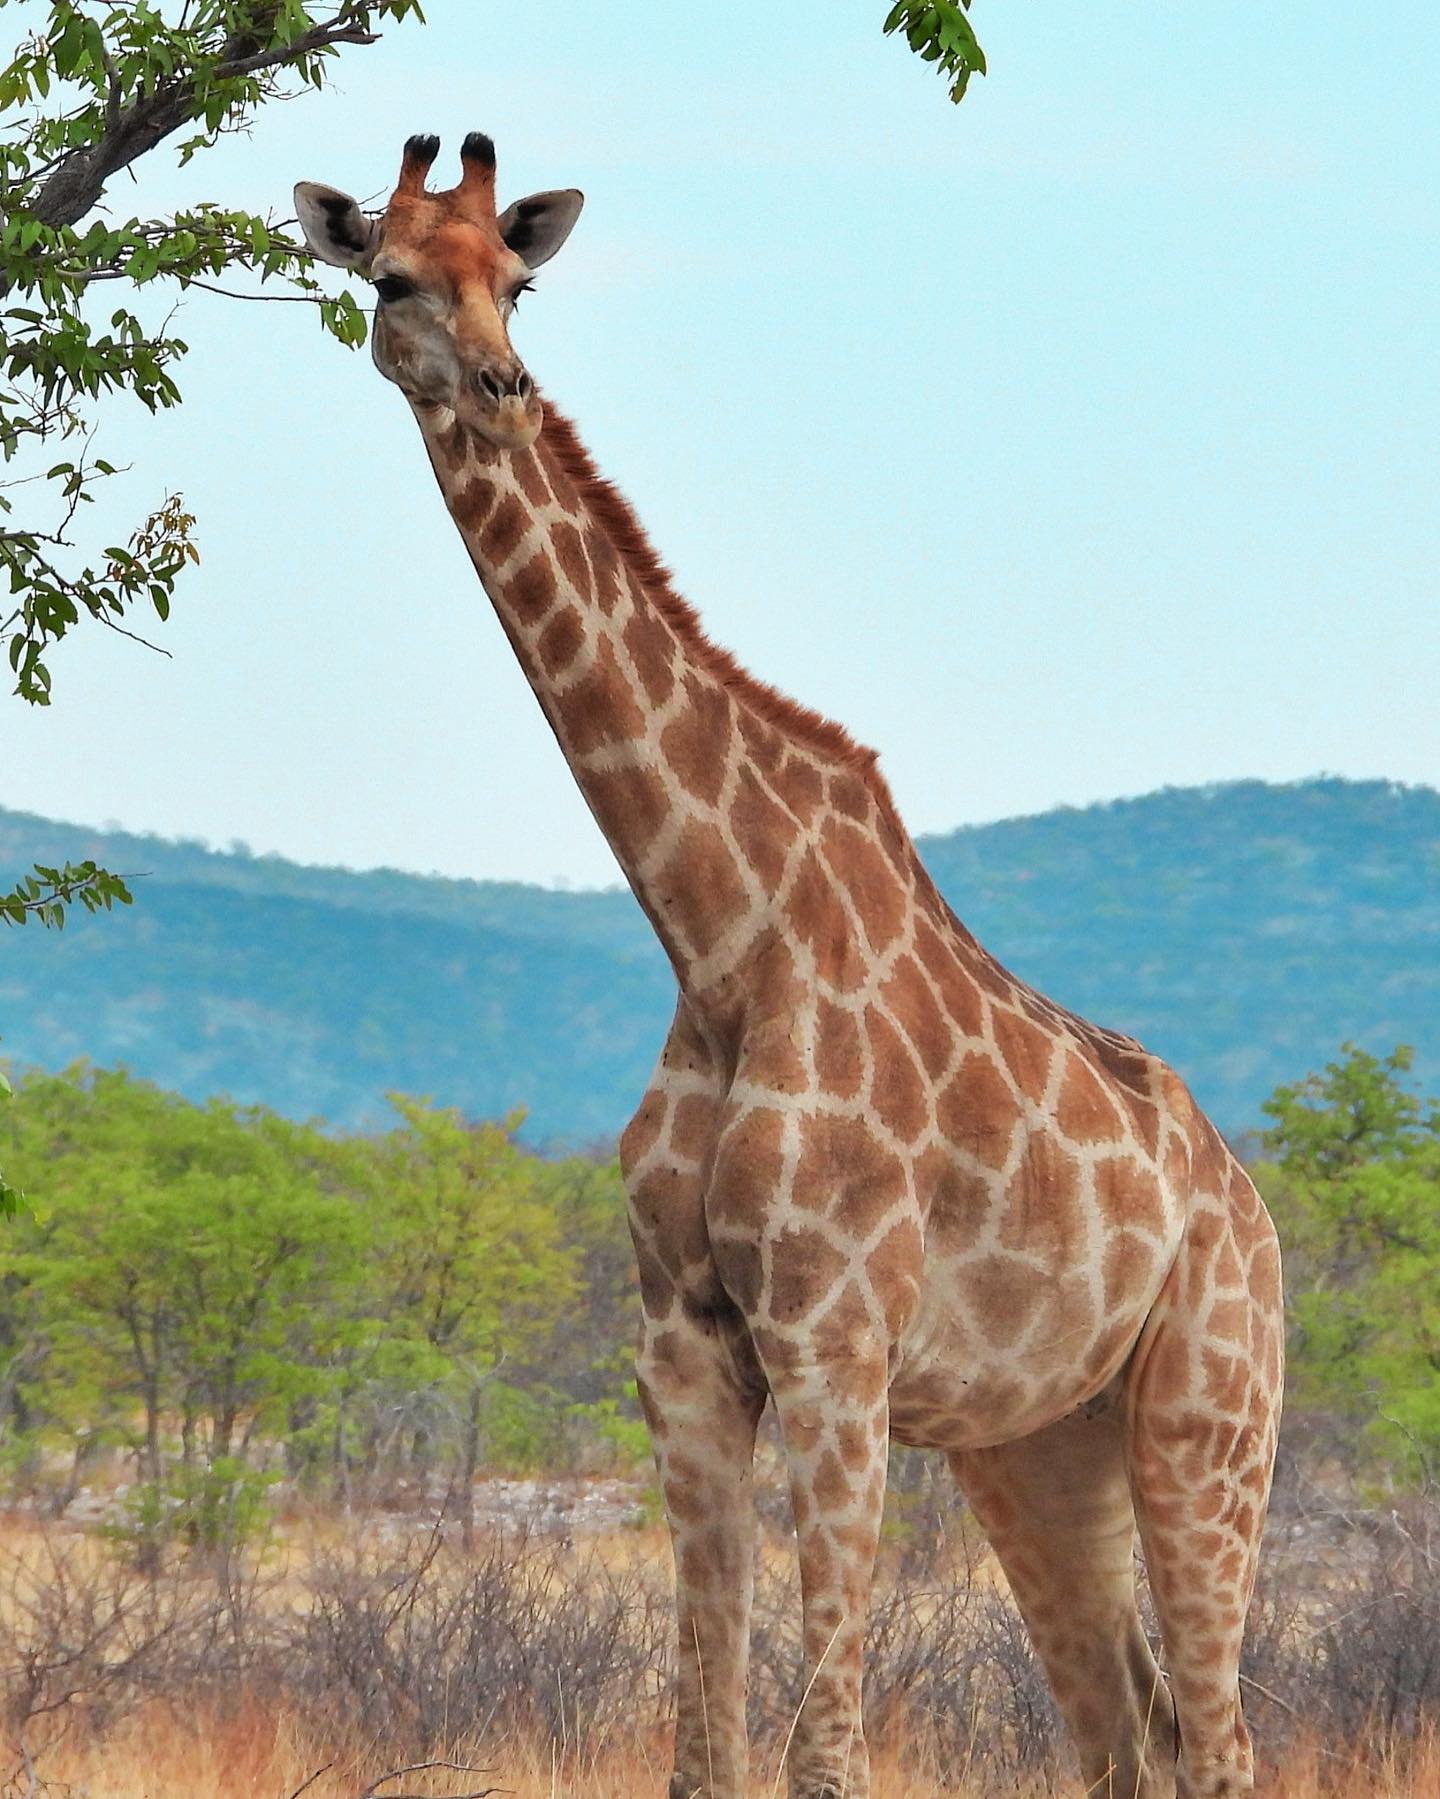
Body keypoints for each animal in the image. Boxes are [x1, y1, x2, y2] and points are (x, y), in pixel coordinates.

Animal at [295, 135, 1285, 1799]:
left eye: (520, 279)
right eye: (392, 279)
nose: (500, 385)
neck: (719, 937)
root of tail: (1253, 1209)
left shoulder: (836, 1342)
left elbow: (828, 1753)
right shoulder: (685, 1346)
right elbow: (705, 1746)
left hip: (1212, 1413)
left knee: (1218, 1743)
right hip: (1038, 1440)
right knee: (1127, 1737)